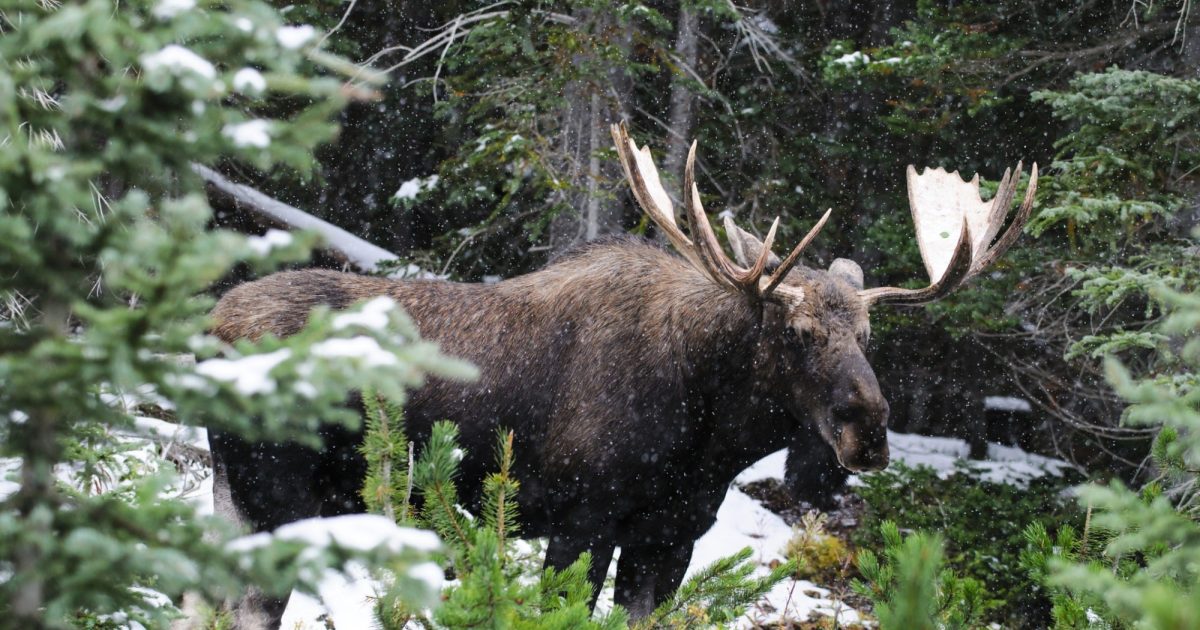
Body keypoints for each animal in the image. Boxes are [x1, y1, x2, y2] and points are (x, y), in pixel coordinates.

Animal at [204, 122, 1036, 626]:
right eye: (799, 333)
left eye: (867, 334)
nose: (869, 432)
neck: (708, 438)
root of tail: (211, 327)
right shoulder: (581, 519)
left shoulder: (670, 538)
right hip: (280, 498)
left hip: (237, 497)